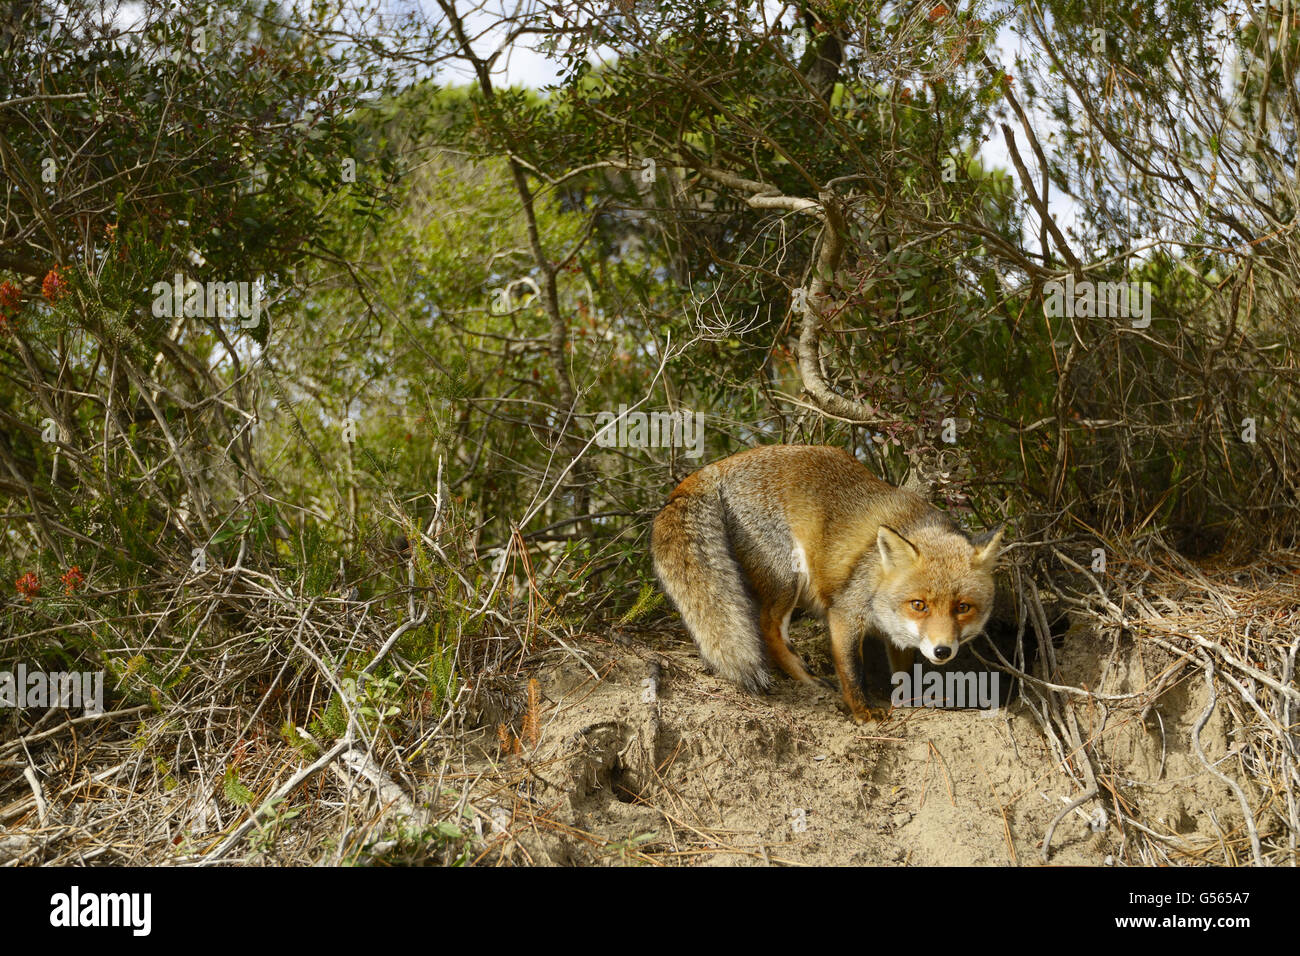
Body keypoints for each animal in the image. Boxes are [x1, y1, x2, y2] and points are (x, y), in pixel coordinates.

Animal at [650, 444, 1004, 723]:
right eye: (920, 605)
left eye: (963, 607)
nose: (943, 650)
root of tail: (715, 467)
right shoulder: (845, 613)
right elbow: (852, 670)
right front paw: (863, 712)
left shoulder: (897, 637)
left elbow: (903, 674)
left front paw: (906, 701)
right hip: (789, 578)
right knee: (767, 629)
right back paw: (806, 678)